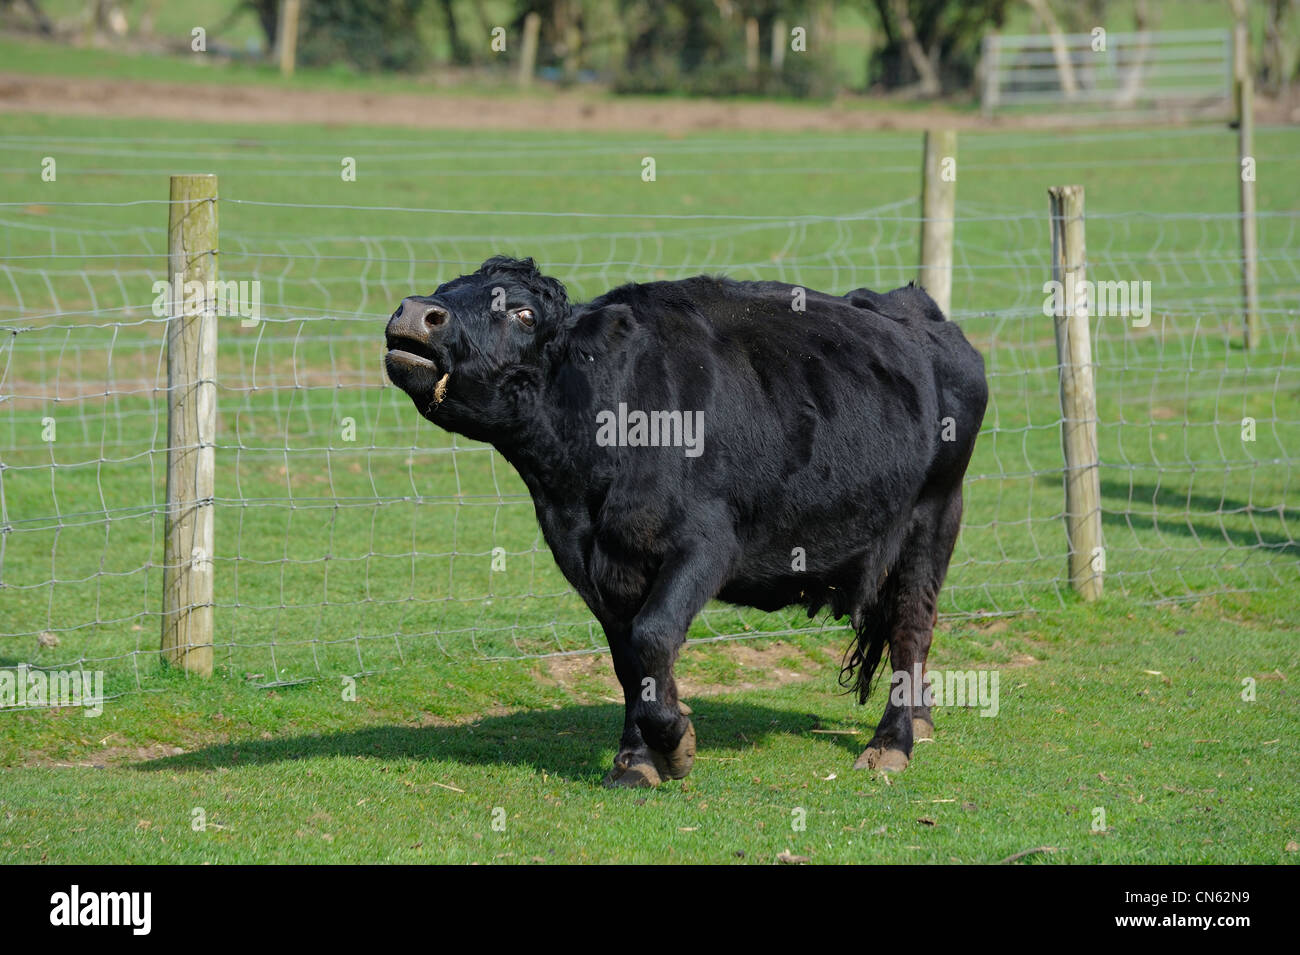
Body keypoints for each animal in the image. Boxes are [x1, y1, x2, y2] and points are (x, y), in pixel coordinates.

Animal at [385, 256, 987, 788]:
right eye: (445, 288)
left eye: (524, 314)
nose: (416, 312)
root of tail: (916, 308)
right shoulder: (593, 563)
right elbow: (630, 662)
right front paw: (635, 760)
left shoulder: (706, 545)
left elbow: (653, 638)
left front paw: (675, 743)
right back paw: (921, 722)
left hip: (932, 519)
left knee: (912, 627)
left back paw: (892, 743)